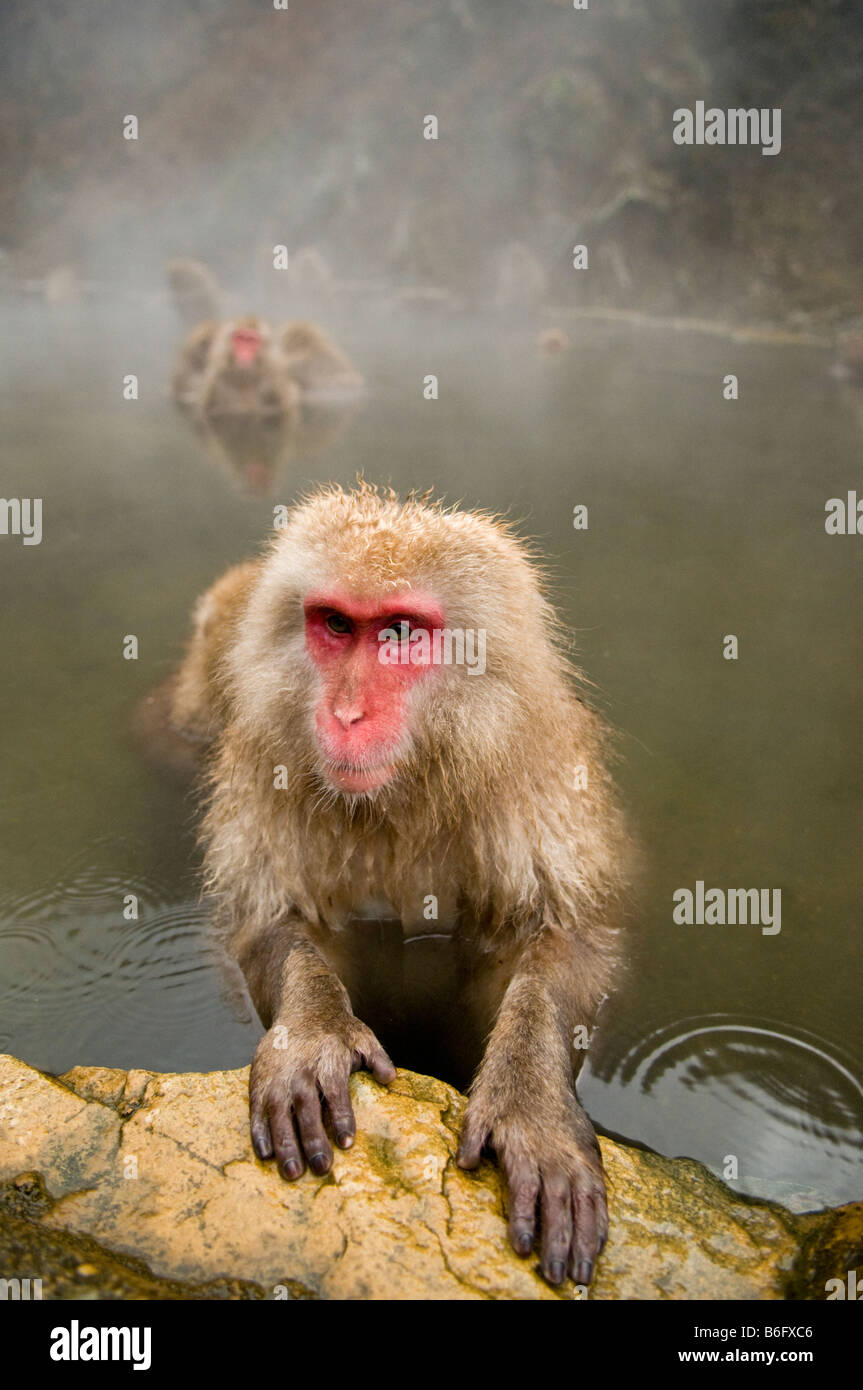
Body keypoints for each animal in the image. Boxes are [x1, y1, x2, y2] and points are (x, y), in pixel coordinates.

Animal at [163, 482, 629, 1287]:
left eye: (400, 631)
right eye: (335, 624)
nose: (346, 713)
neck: (402, 792)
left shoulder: (535, 773)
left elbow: (564, 939)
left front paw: (532, 1105)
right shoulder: (265, 762)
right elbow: (270, 924)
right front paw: (311, 1029)